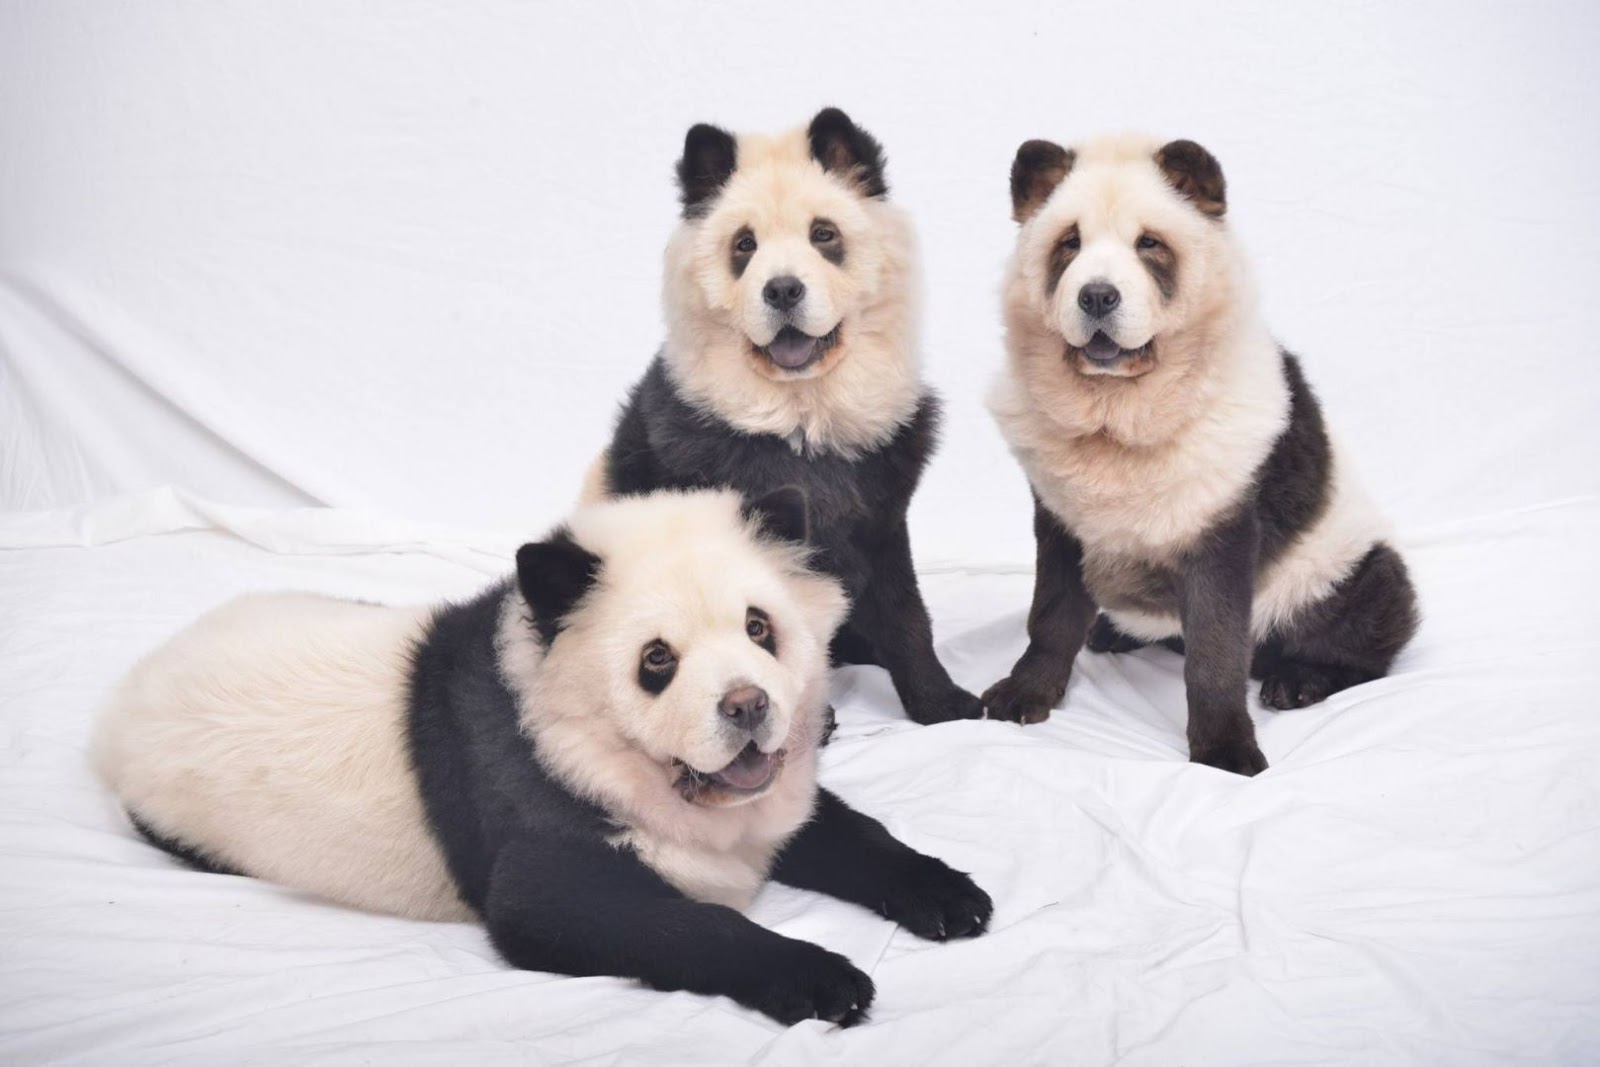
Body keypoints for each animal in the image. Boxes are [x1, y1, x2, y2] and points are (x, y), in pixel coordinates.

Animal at [92, 488, 992, 1027]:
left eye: (759, 626)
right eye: (656, 660)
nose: (747, 707)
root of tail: (135, 681)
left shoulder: (761, 799)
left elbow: (841, 830)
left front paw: (949, 894)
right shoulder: (529, 794)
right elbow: (618, 915)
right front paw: (824, 978)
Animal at [580, 107, 984, 727]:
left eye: (824, 234)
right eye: (743, 245)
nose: (784, 290)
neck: (802, 414)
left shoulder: (879, 497)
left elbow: (905, 608)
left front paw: (943, 703)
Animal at [984, 134, 1419, 776]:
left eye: (1149, 245)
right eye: (1069, 243)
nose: (1097, 297)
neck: (1118, 410)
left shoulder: (1226, 501)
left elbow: (1215, 639)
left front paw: (1225, 749)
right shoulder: (1061, 506)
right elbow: (1053, 607)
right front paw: (1024, 692)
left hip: (1341, 565)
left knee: (1368, 619)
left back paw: (1300, 679)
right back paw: (1115, 632)